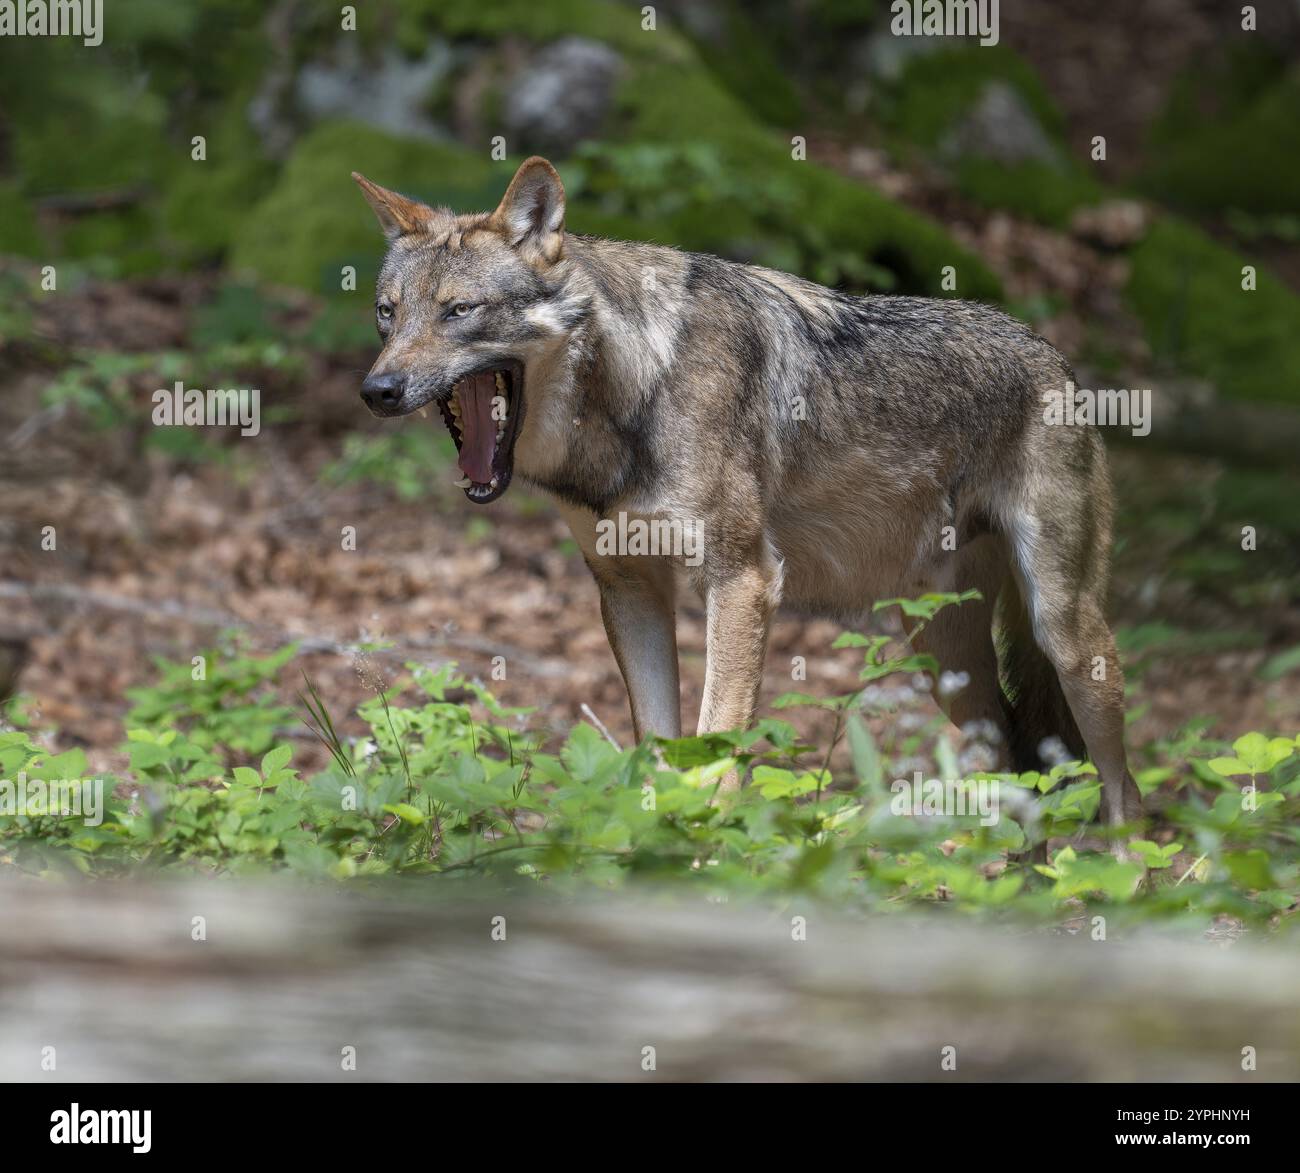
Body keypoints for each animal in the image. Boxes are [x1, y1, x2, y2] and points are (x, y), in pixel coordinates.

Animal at [353, 157, 1142, 825]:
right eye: (388, 312)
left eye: (460, 311)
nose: (377, 390)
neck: (635, 389)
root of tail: (1057, 359)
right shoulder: (629, 588)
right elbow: (658, 748)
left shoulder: (743, 581)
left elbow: (717, 746)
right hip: (939, 654)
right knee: (1013, 756)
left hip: (1063, 635)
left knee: (1121, 787)